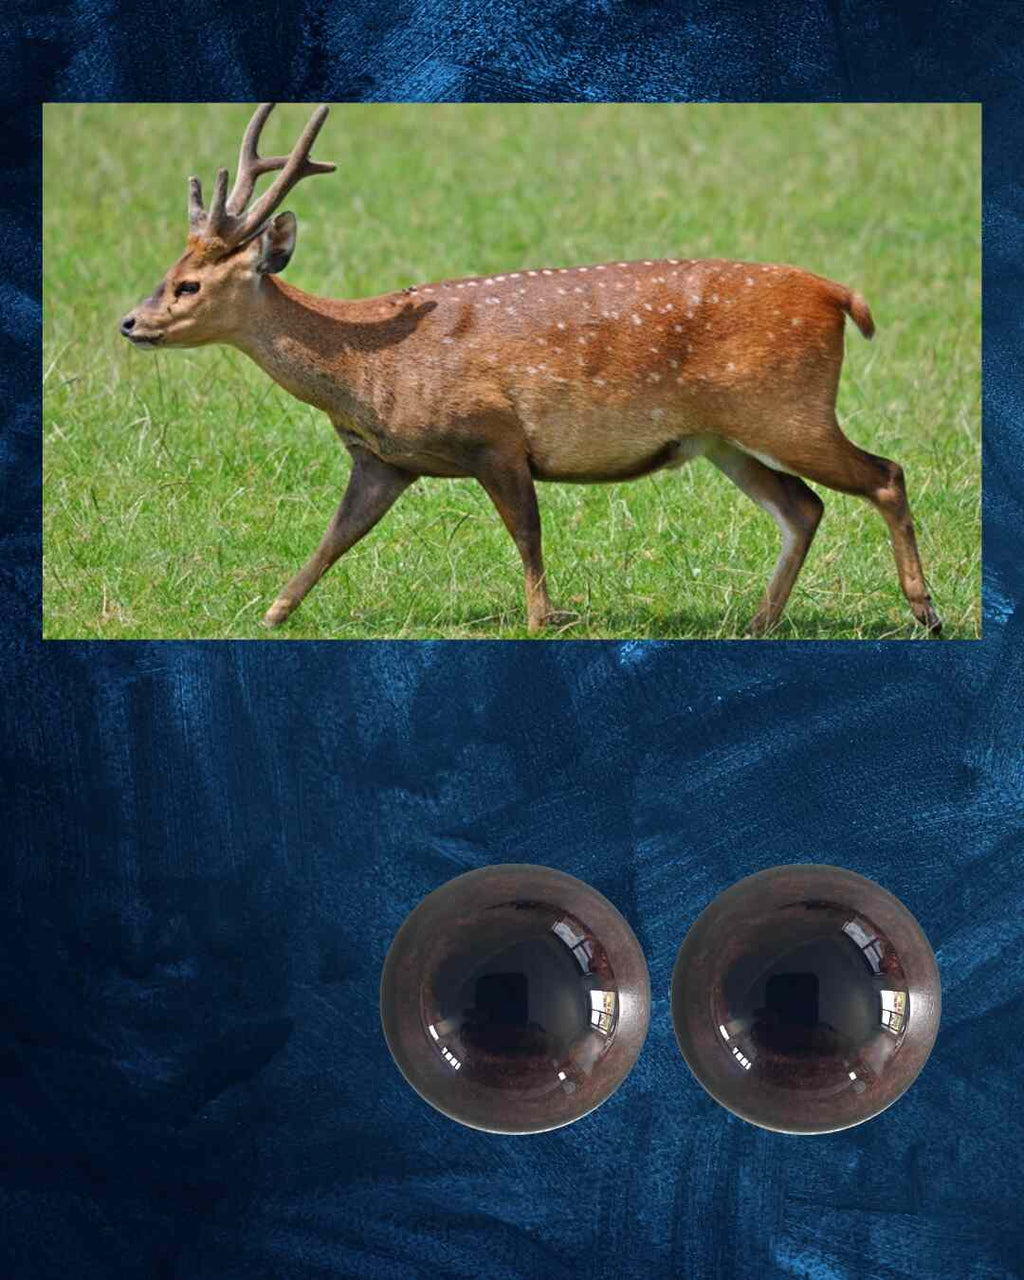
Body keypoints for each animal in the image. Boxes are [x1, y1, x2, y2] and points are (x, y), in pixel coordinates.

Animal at [120, 103, 941, 637]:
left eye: (188, 285)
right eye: (168, 272)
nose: (131, 321)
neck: (370, 369)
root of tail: (837, 295)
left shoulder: (495, 434)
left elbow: (527, 532)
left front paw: (546, 617)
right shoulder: (383, 460)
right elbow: (334, 539)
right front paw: (272, 610)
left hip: (786, 406)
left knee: (883, 473)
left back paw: (923, 610)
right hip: (724, 437)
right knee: (804, 506)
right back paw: (760, 621)